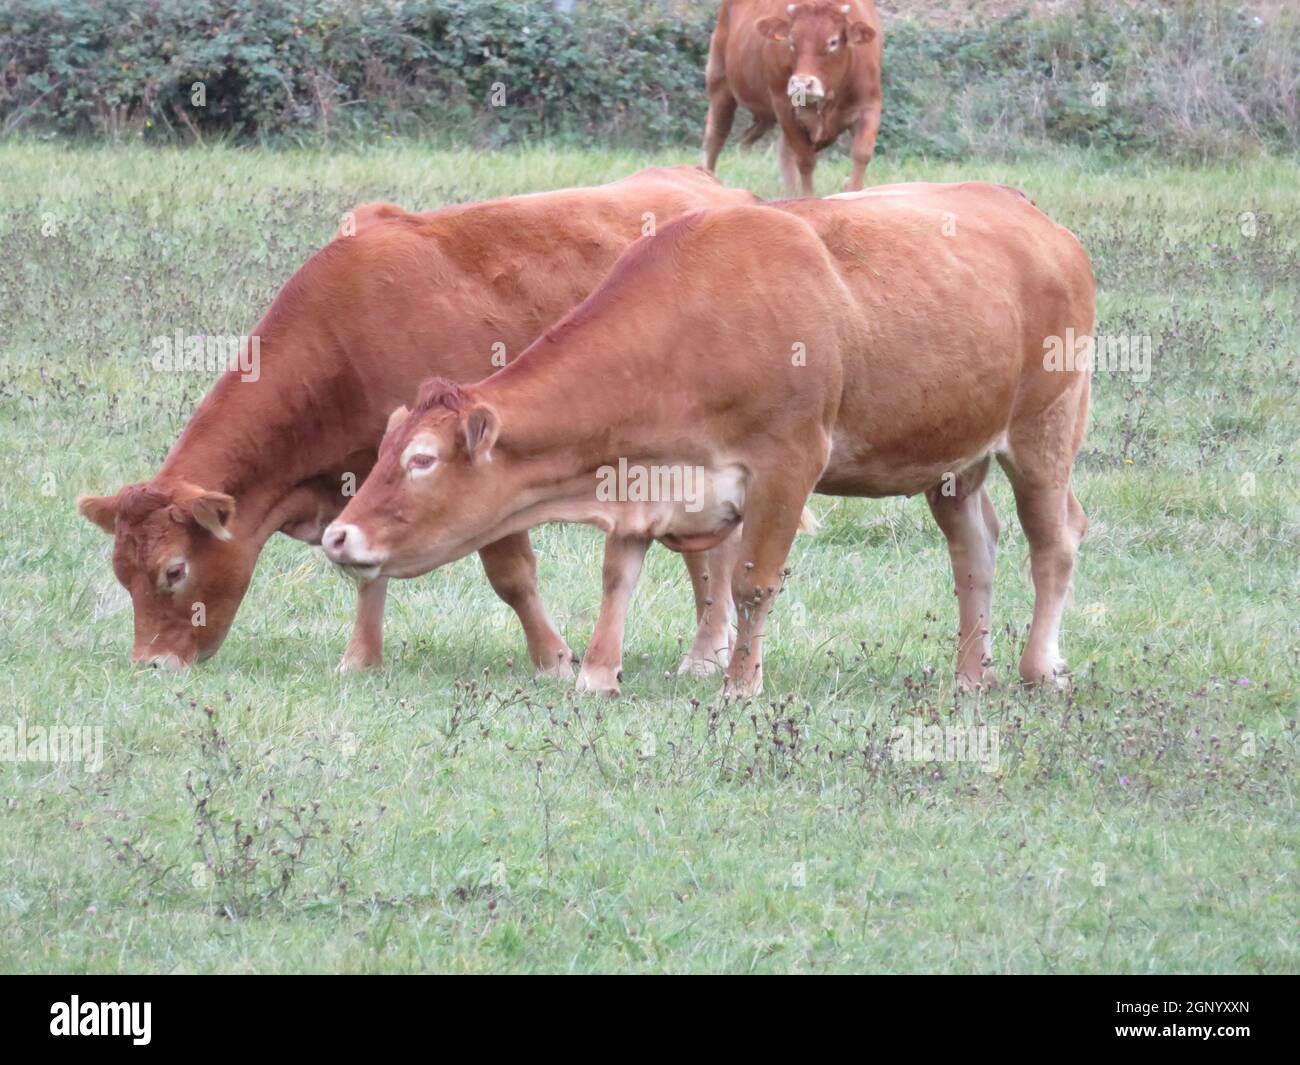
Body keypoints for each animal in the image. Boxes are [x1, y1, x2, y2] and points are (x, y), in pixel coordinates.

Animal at [77, 167, 755, 676]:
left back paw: (706, 653)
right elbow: (362, 566)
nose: (150, 665)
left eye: (174, 571)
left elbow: (511, 576)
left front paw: (553, 659)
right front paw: (360, 658)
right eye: (121, 573)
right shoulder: (366, 481)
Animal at [322, 183, 1094, 697]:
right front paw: (597, 672)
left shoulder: (788, 462)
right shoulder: (641, 478)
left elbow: (752, 580)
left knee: (1054, 541)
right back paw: (970, 674)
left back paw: (1038, 667)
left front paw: (740, 682)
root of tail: (1033, 216)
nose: (337, 536)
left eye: (421, 460)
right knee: (975, 553)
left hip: (1046, 431)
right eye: (383, 451)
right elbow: (619, 571)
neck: (688, 327)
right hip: (953, 460)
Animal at [703, 0, 883, 197]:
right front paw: (807, 197)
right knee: (716, 136)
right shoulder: (784, 108)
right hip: (719, 81)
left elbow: (861, 154)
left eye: (833, 42)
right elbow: (805, 160)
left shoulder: (869, 105)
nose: (802, 84)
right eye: (792, 41)